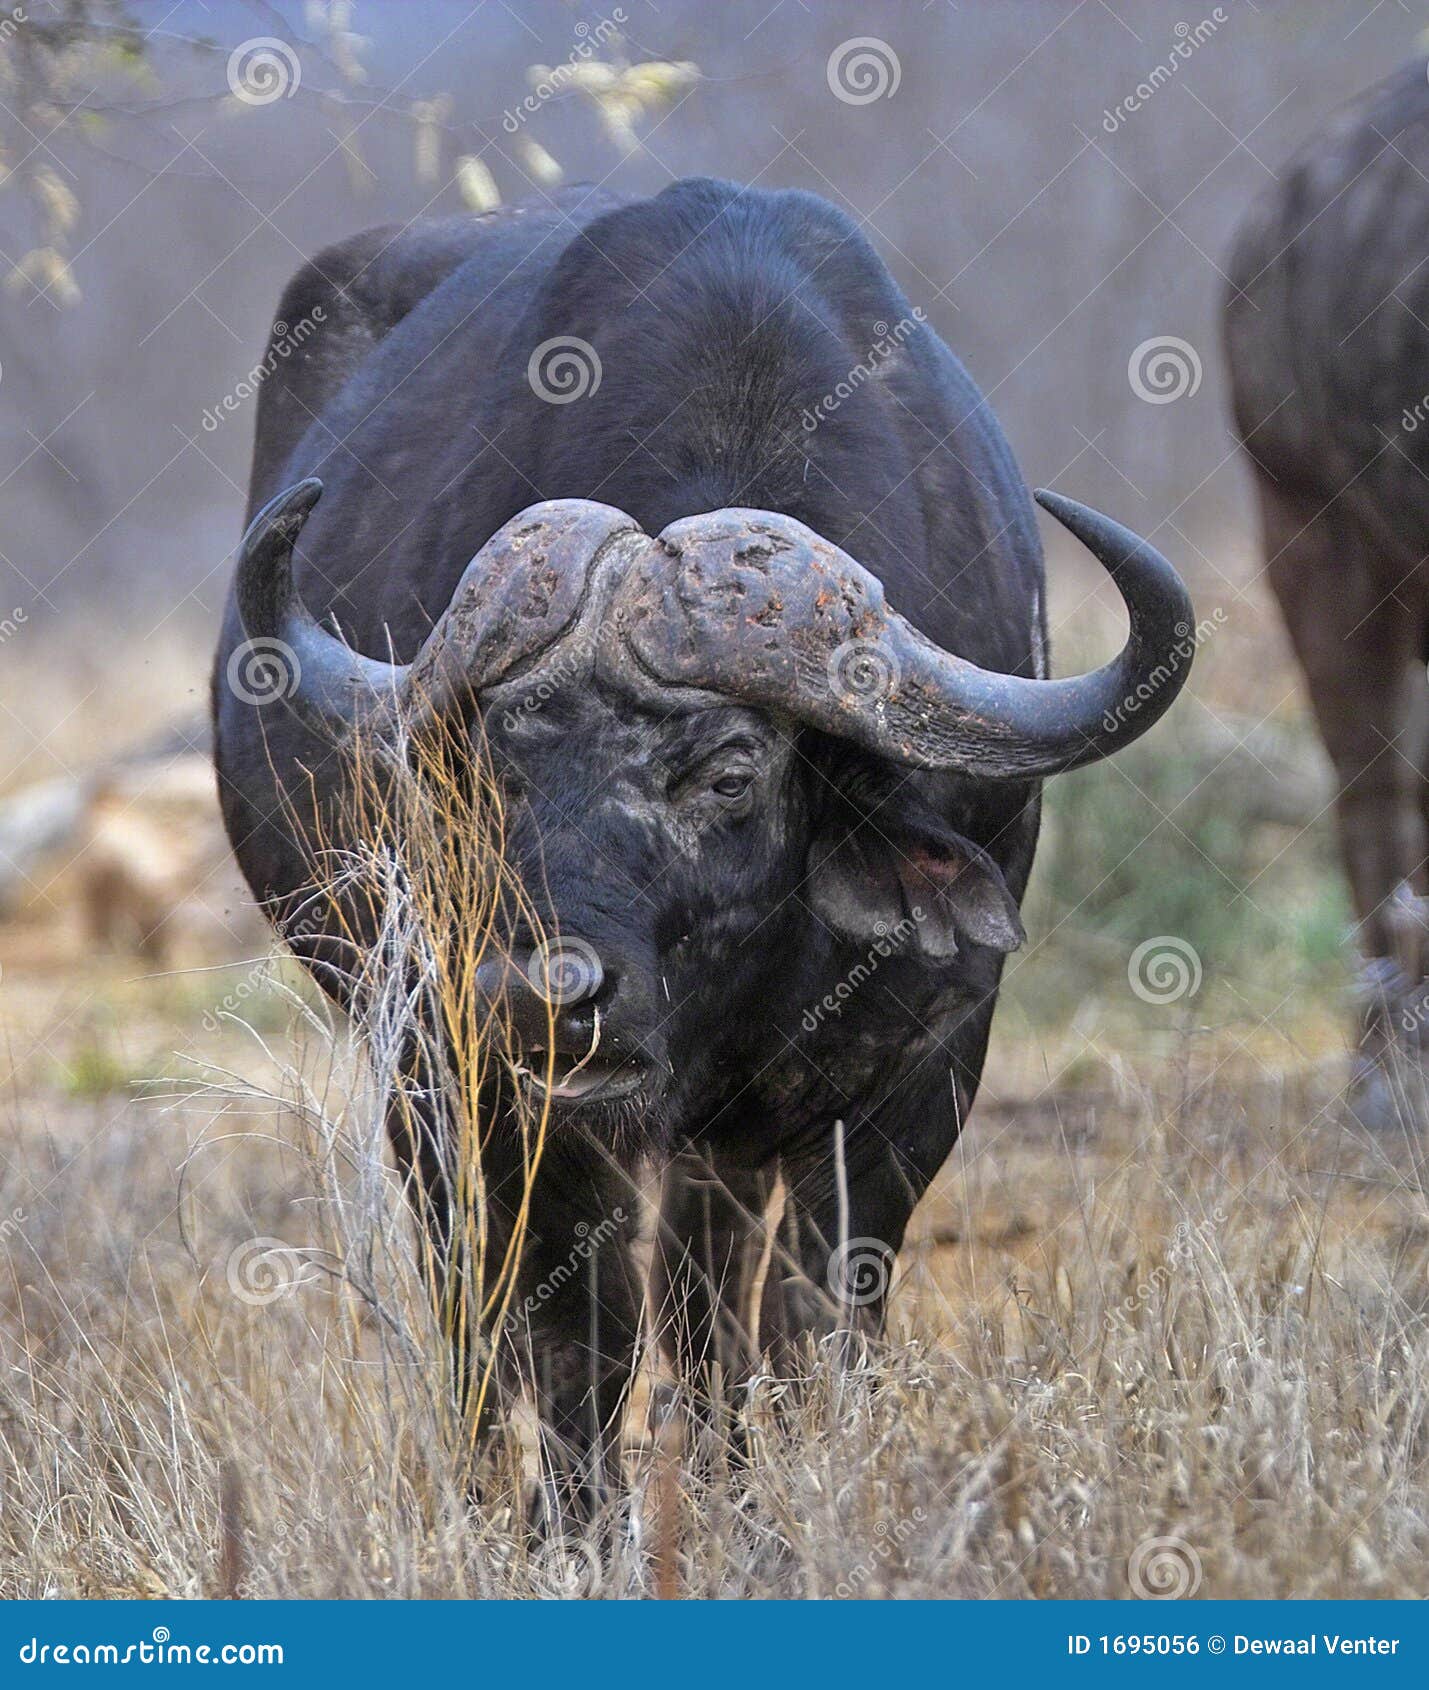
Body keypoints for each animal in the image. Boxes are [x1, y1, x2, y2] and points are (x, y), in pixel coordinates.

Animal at [214, 177, 1193, 1516]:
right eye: (481, 774)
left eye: (730, 773)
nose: (542, 996)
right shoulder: (505, 1092)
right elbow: (575, 1336)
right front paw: (574, 1531)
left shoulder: (924, 1064)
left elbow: (811, 1317)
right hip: (411, 1051)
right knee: (472, 1294)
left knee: (704, 1297)